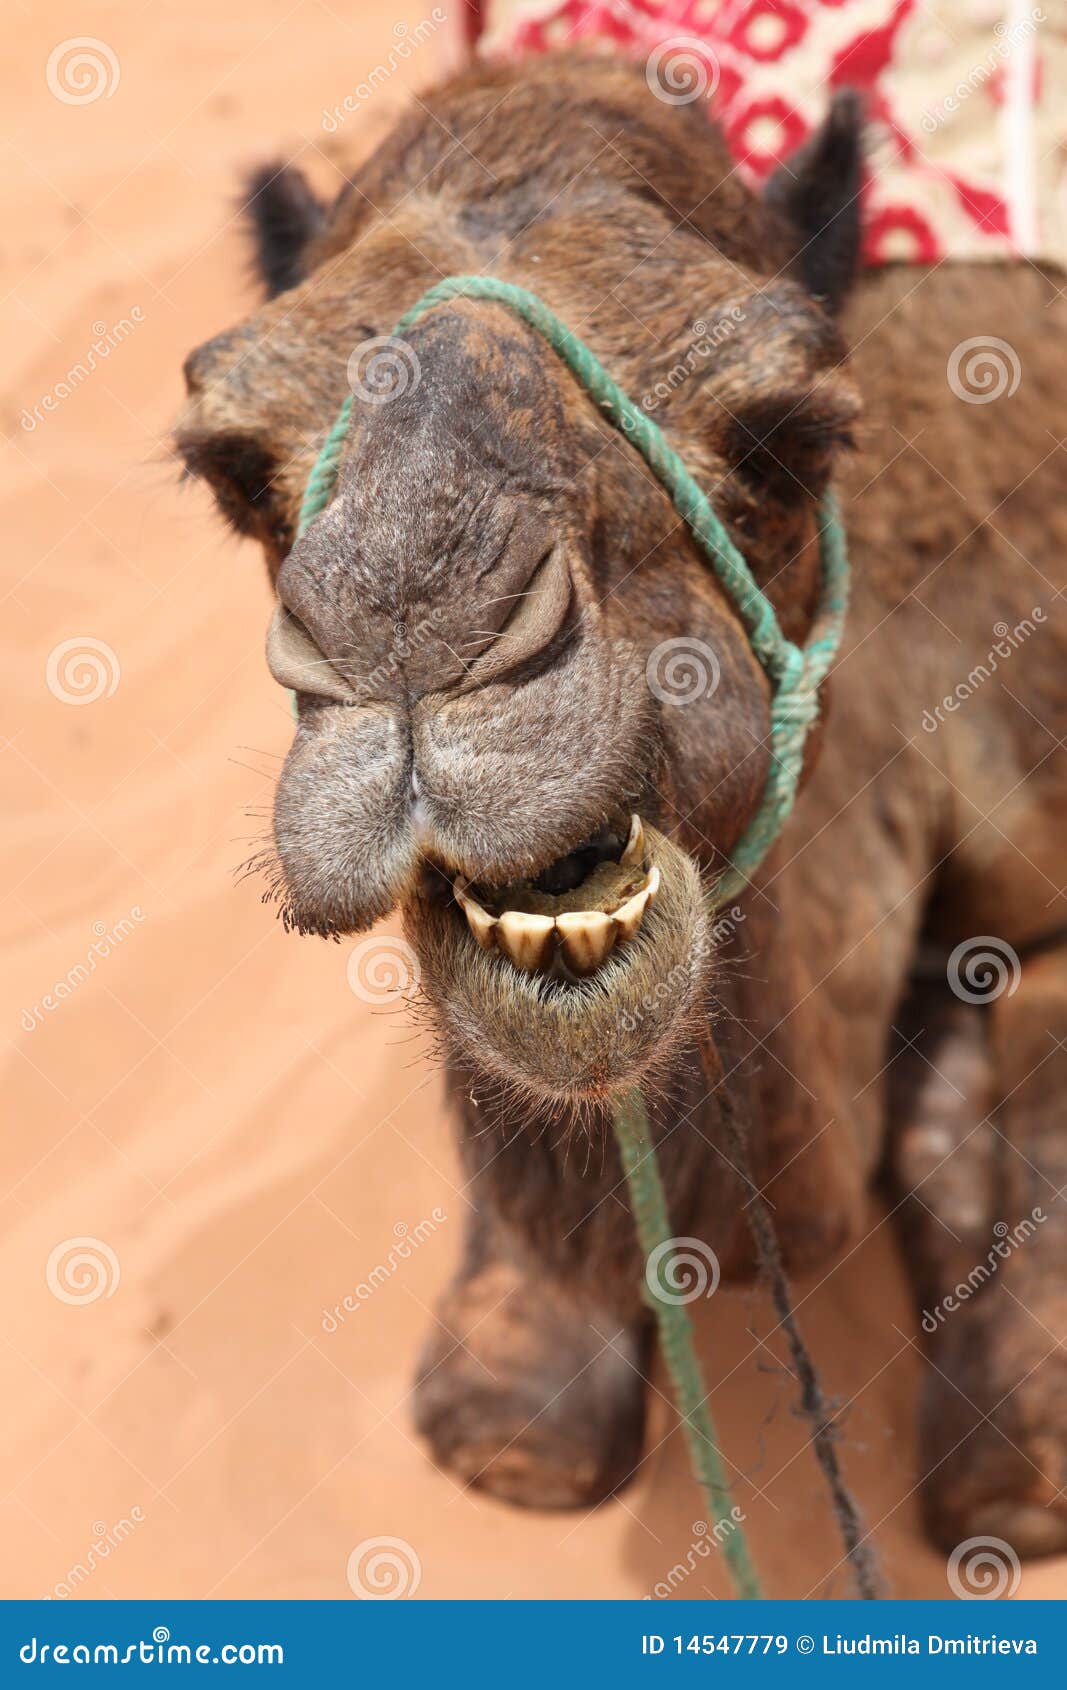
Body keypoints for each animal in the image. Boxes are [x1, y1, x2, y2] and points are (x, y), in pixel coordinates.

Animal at [175, 52, 1067, 1560]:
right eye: (233, 467)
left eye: (790, 433)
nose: (415, 619)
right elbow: (530, 1435)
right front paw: (513, 1396)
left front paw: (1015, 1457)